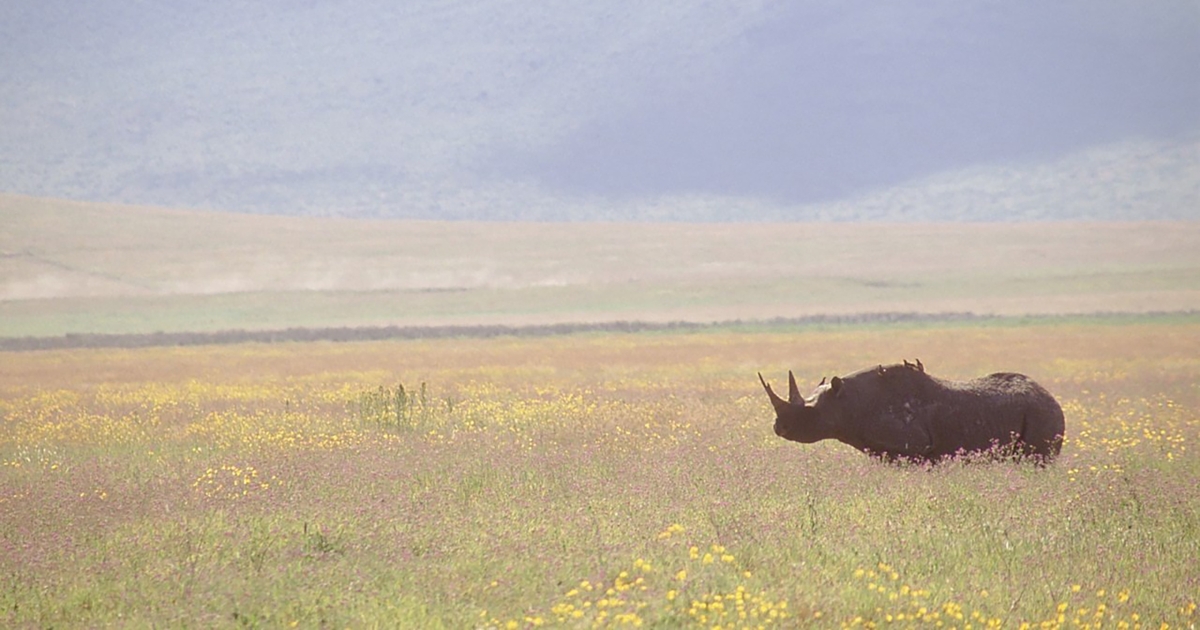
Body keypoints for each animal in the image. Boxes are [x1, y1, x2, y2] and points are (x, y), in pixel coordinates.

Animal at [759, 359, 1064, 463]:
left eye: (808, 414)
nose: (778, 427)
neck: (845, 403)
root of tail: (1050, 396)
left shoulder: (913, 446)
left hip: (1043, 413)